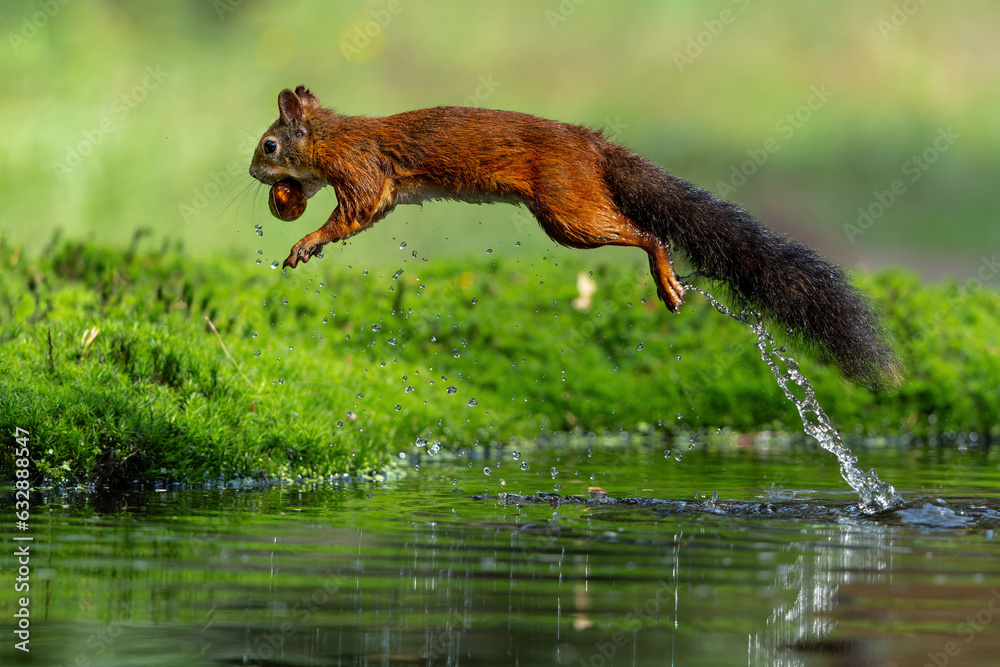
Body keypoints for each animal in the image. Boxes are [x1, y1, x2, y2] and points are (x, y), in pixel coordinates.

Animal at [250, 86, 900, 389]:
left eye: (269, 145)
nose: (256, 174)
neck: (334, 136)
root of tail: (592, 145)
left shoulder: (362, 169)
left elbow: (355, 209)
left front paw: (305, 241)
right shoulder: (382, 191)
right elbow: (369, 214)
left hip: (568, 212)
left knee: (644, 232)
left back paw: (666, 280)